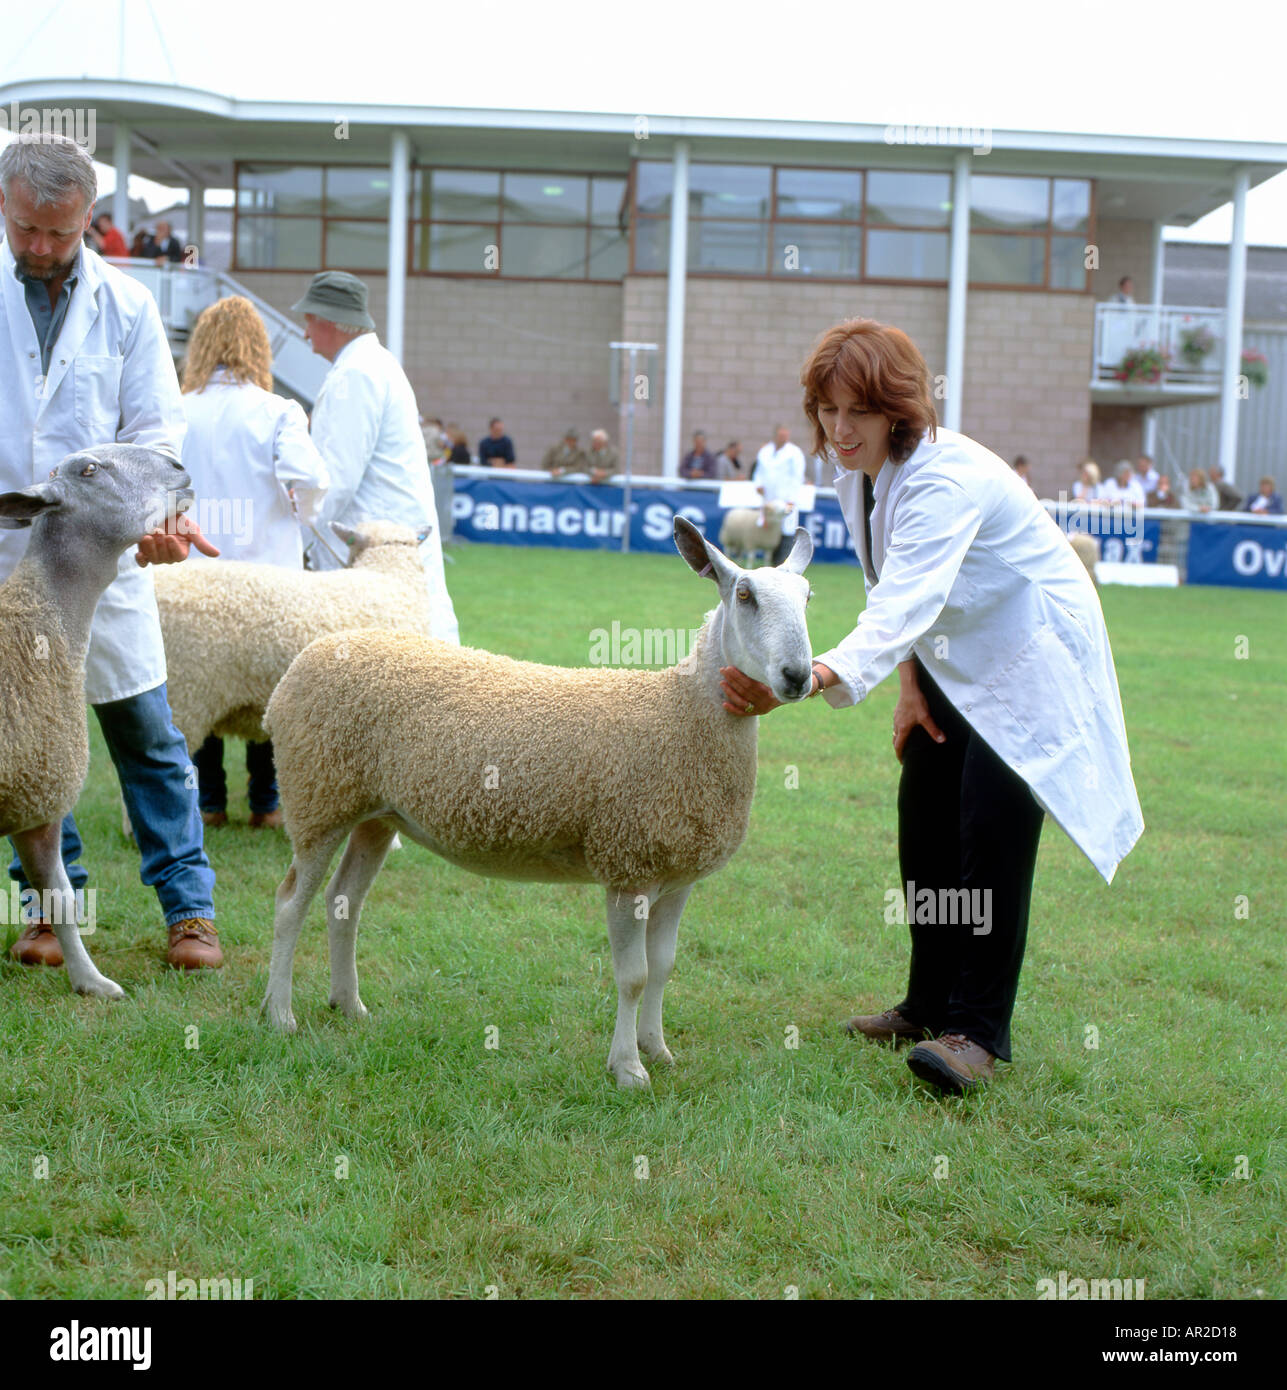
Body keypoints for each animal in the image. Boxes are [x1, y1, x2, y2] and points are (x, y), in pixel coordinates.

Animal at [259, 517, 815, 1089]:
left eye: (808, 596)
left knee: (343, 902)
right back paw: (279, 1014)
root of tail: (300, 667)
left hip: (375, 814)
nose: (799, 676)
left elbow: (663, 967)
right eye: (744, 595)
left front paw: (657, 1049)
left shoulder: (677, 875)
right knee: (290, 903)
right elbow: (634, 977)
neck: (679, 714)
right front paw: (627, 1068)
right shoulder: (628, 866)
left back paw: (349, 1005)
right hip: (317, 797)